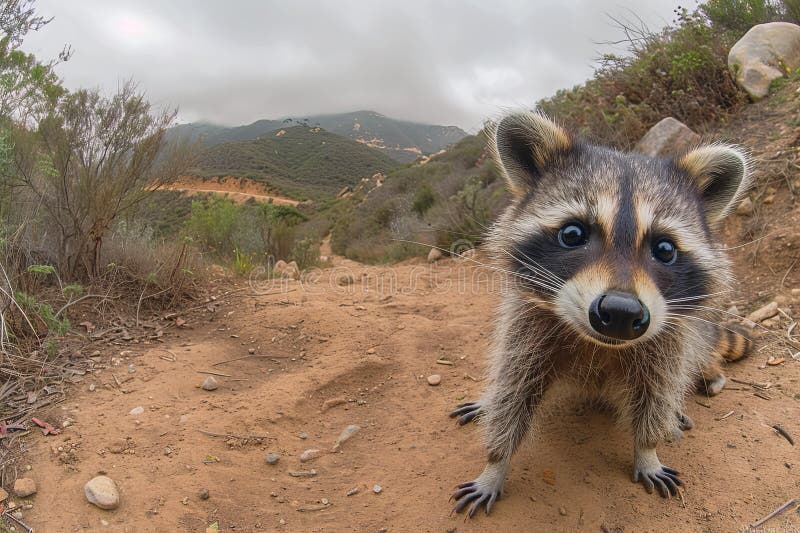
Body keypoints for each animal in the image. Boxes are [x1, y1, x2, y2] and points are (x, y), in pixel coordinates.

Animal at [450, 112, 753, 517]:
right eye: (572, 233)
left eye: (665, 249)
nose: (621, 313)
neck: (601, 343)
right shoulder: (527, 325)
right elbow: (514, 388)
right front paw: (495, 464)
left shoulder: (670, 338)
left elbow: (656, 390)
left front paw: (647, 449)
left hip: (699, 332)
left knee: (697, 360)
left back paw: (705, 383)